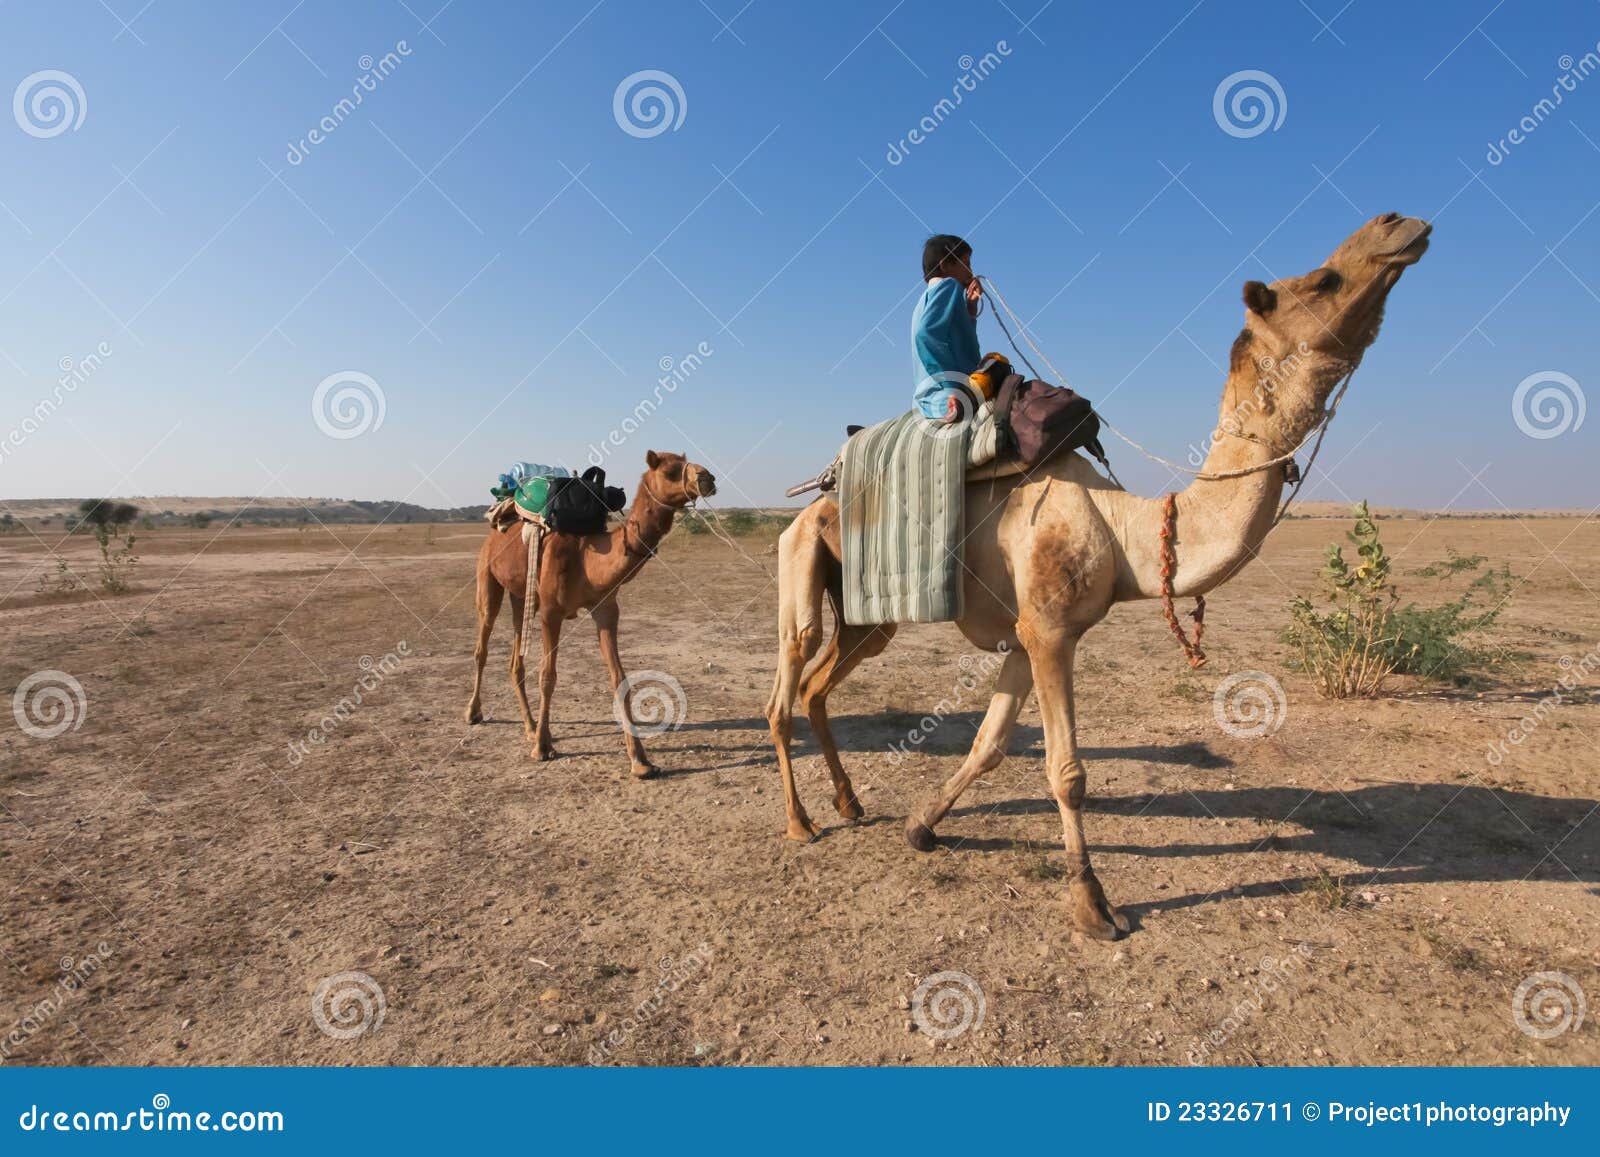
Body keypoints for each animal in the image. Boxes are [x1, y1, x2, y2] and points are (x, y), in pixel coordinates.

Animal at [467, 450, 716, 776]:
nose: (707, 478)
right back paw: (475, 713)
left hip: (521, 595)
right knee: (482, 645)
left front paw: (640, 760)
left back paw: (530, 727)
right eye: (670, 471)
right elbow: (547, 677)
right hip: (488, 578)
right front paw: (543, 747)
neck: (586, 557)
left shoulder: (606, 609)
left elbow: (619, 678)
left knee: (515, 658)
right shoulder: (551, 612)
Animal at [766, 212, 1432, 939]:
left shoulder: (1030, 633)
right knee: (788, 683)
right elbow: (1066, 771)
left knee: (821, 686)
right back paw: (800, 822)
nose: (1400, 224)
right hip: (800, 556)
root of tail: (816, 492)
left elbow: (991, 742)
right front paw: (1092, 904)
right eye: (1323, 280)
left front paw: (921, 825)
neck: (1123, 531)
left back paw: (850, 803)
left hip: (870, 614)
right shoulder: (1051, 630)